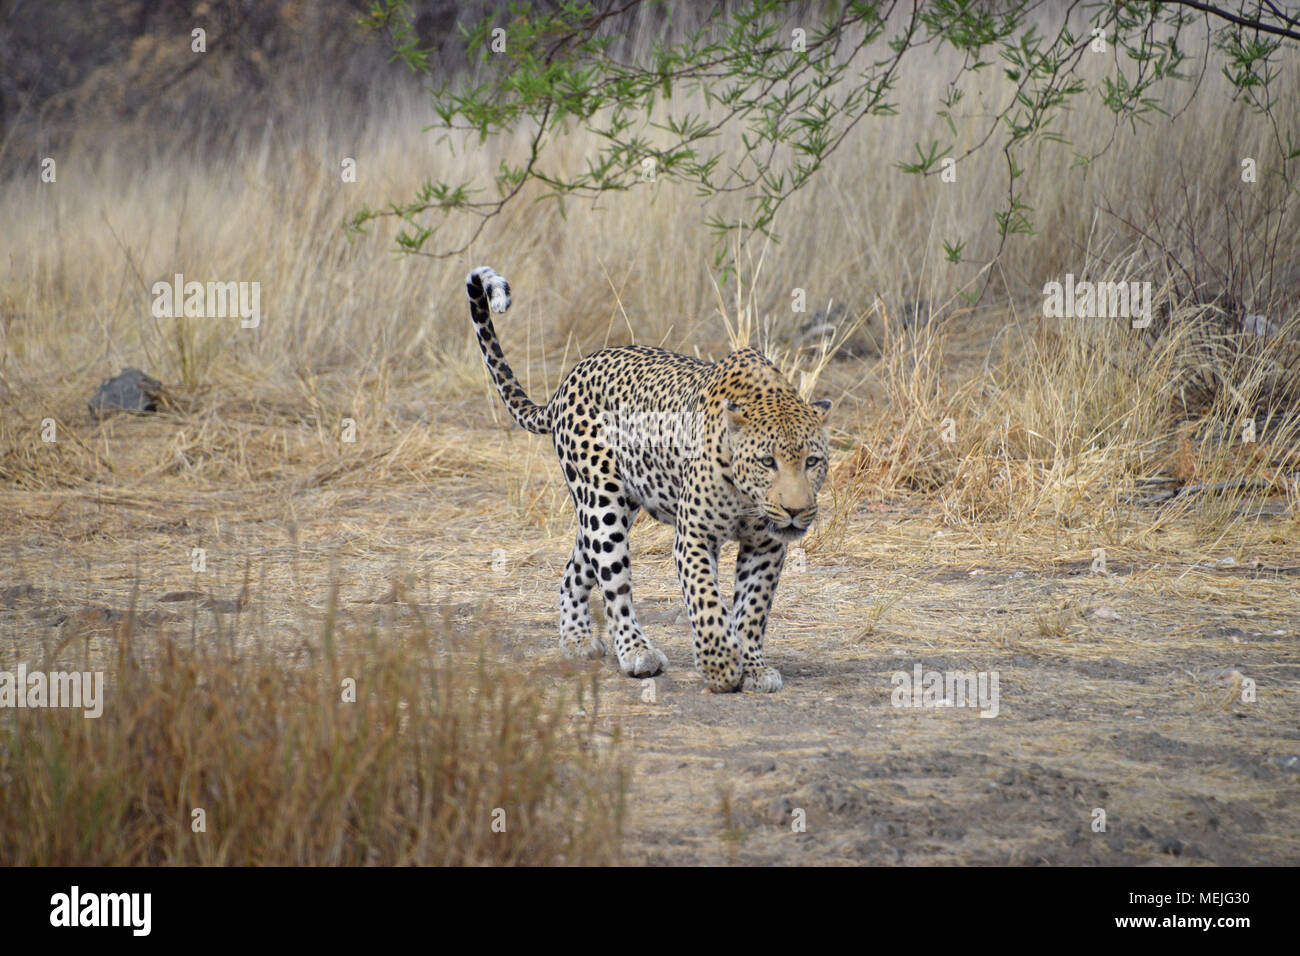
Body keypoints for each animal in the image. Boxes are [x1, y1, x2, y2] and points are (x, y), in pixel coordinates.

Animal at [465, 265, 831, 692]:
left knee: (575, 568)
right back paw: (636, 652)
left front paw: (754, 667)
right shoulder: (695, 536)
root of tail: (568, 381)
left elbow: (752, 609)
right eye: (767, 461)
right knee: (614, 585)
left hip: (612, 507)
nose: (795, 511)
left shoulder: (766, 545)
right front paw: (721, 665)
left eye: (812, 461)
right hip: (602, 506)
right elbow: (707, 601)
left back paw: (576, 640)